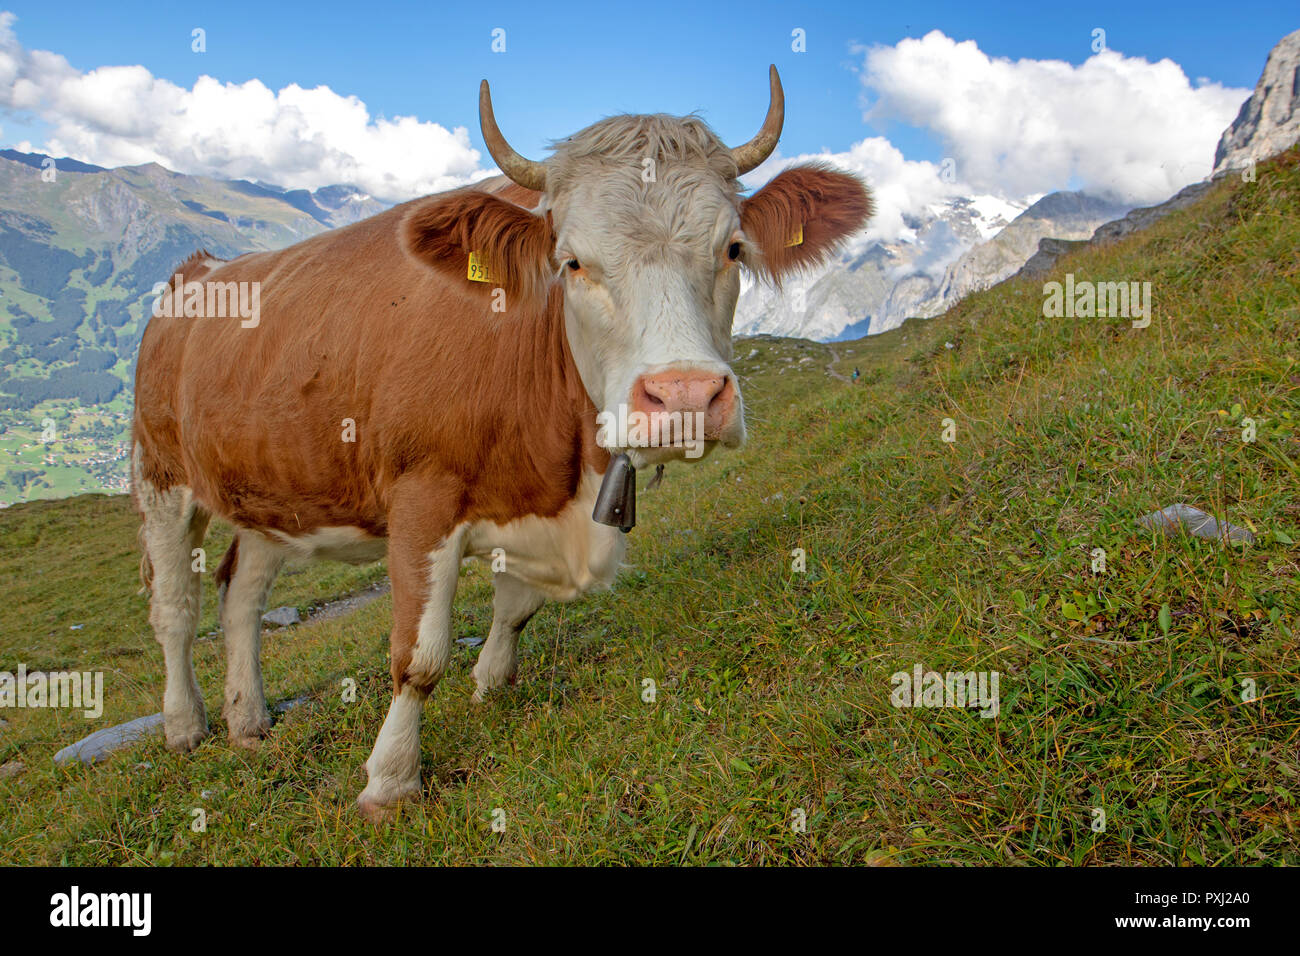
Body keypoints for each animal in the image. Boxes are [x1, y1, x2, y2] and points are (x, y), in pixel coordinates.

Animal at [131, 66, 872, 819]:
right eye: (572, 262)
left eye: (733, 249)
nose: (686, 397)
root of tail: (199, 270)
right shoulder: (421, 496)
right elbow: (418, 656)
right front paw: (390, 780)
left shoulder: (531, 500)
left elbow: (517, 609)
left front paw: (490, 684)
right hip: (159, 475)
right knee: (176, 609)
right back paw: (185, 725)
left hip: (270, 489)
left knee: (242, 594)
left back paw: (248, 719)